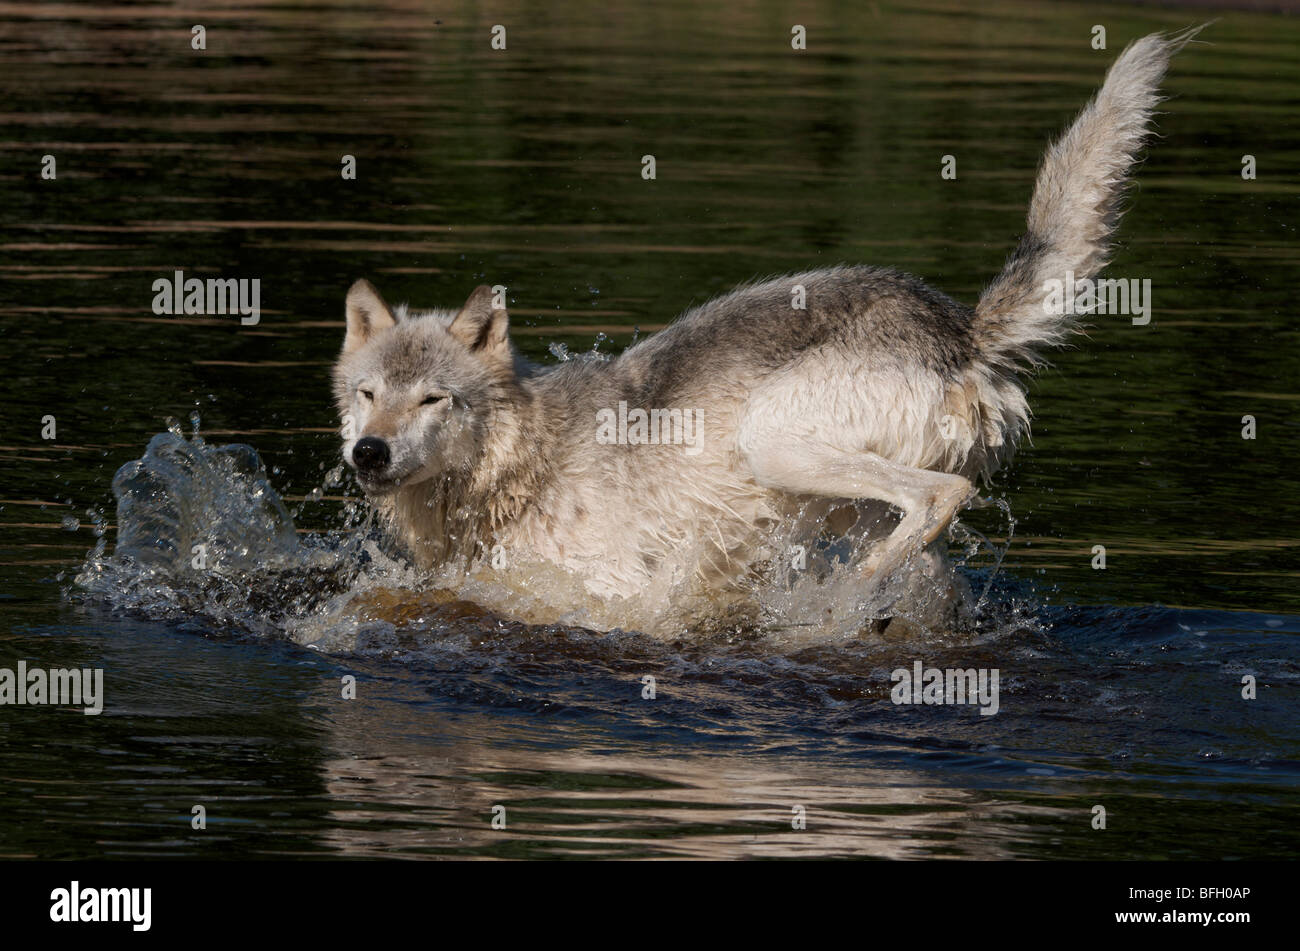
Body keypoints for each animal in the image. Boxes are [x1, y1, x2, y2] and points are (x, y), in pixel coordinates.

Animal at [332, 29, 1201, 635]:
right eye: (369, 395)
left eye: (433, 400)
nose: (367, 452)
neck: (521, 466)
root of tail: (960, 325)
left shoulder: (614, 595)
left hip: (775, 441)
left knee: (940, 498)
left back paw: (839, 601)